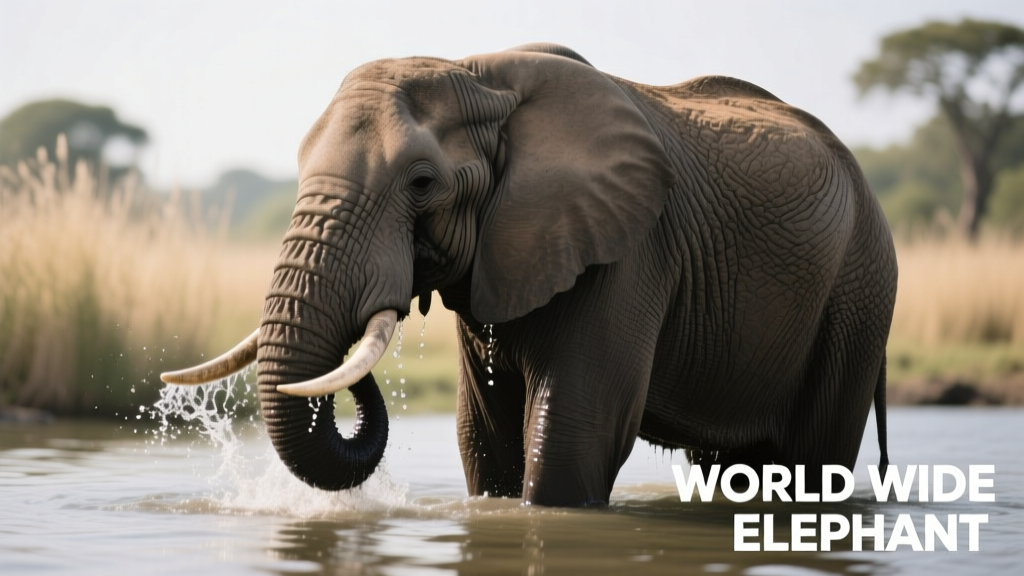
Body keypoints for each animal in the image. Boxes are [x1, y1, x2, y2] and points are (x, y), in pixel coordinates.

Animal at [162, 43, 896, 507]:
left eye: (422, 183)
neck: (481, 75)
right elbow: (485, 440)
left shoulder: (627, 252)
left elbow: (574, 433)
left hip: (859, 291)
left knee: (813, 458)